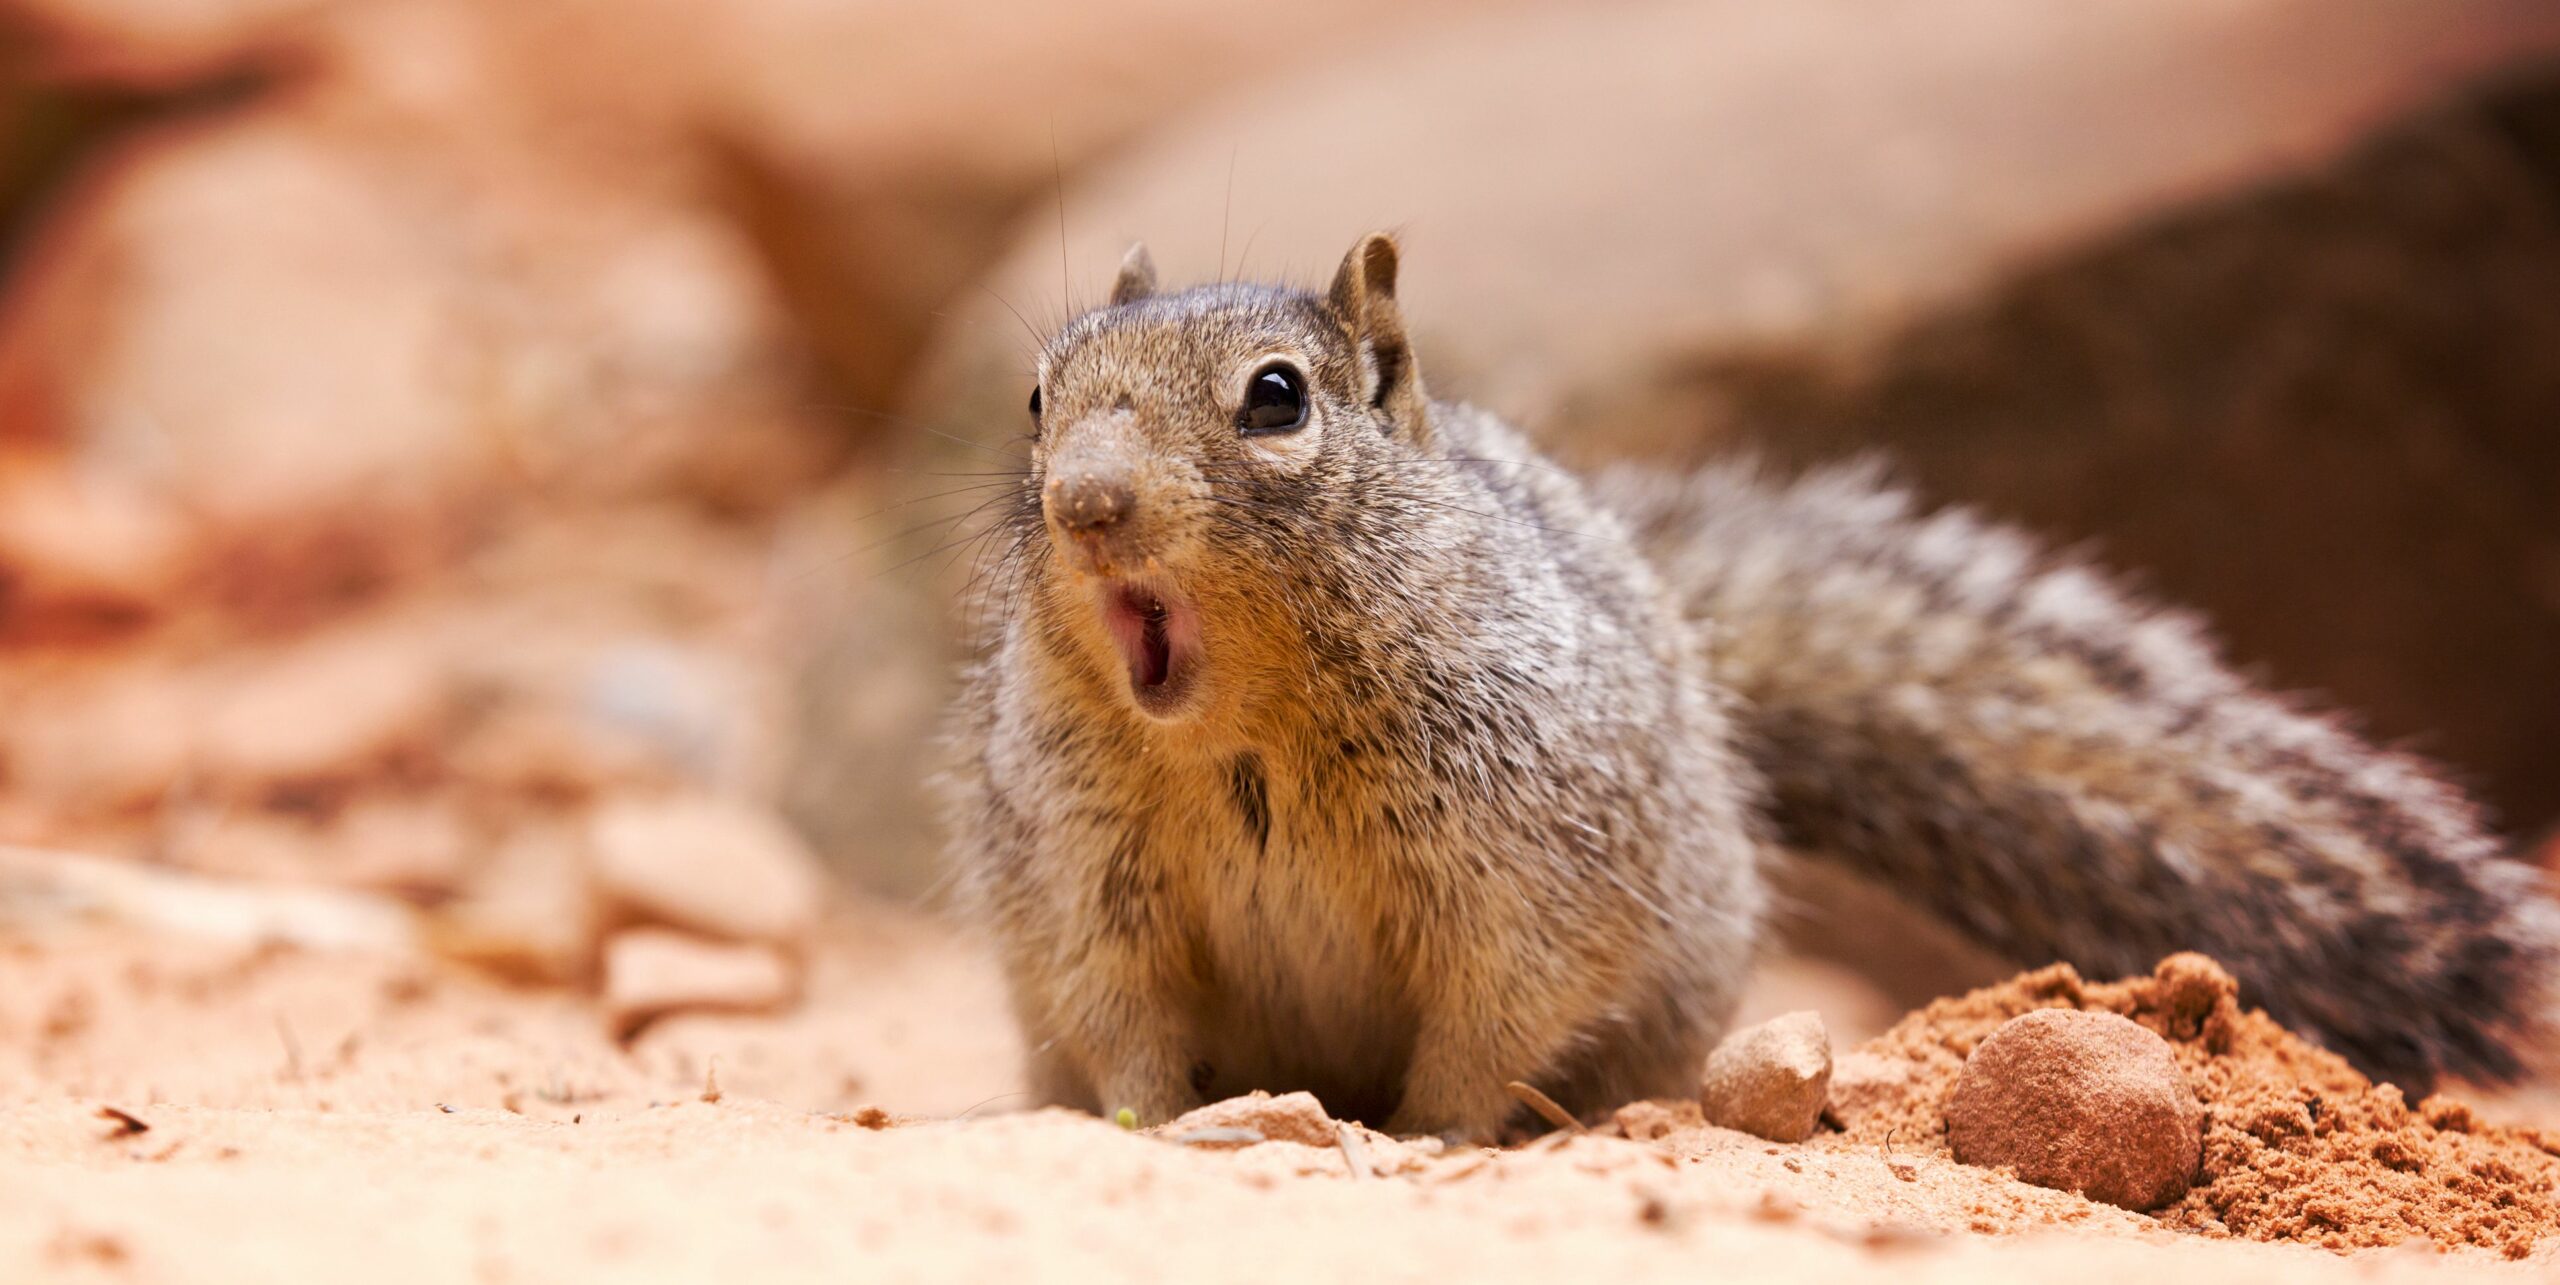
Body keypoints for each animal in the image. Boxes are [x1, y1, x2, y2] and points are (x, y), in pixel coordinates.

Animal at [943, 231, 2560, 1141]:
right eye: (1037, 397)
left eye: (1277, 398)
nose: (1084, 503)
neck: (1242, 735)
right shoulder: (1085, 878)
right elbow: (1121, 1013)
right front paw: (1147, 1122)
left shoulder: (1527, 872)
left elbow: (1493, 1019)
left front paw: (1429, 1135)